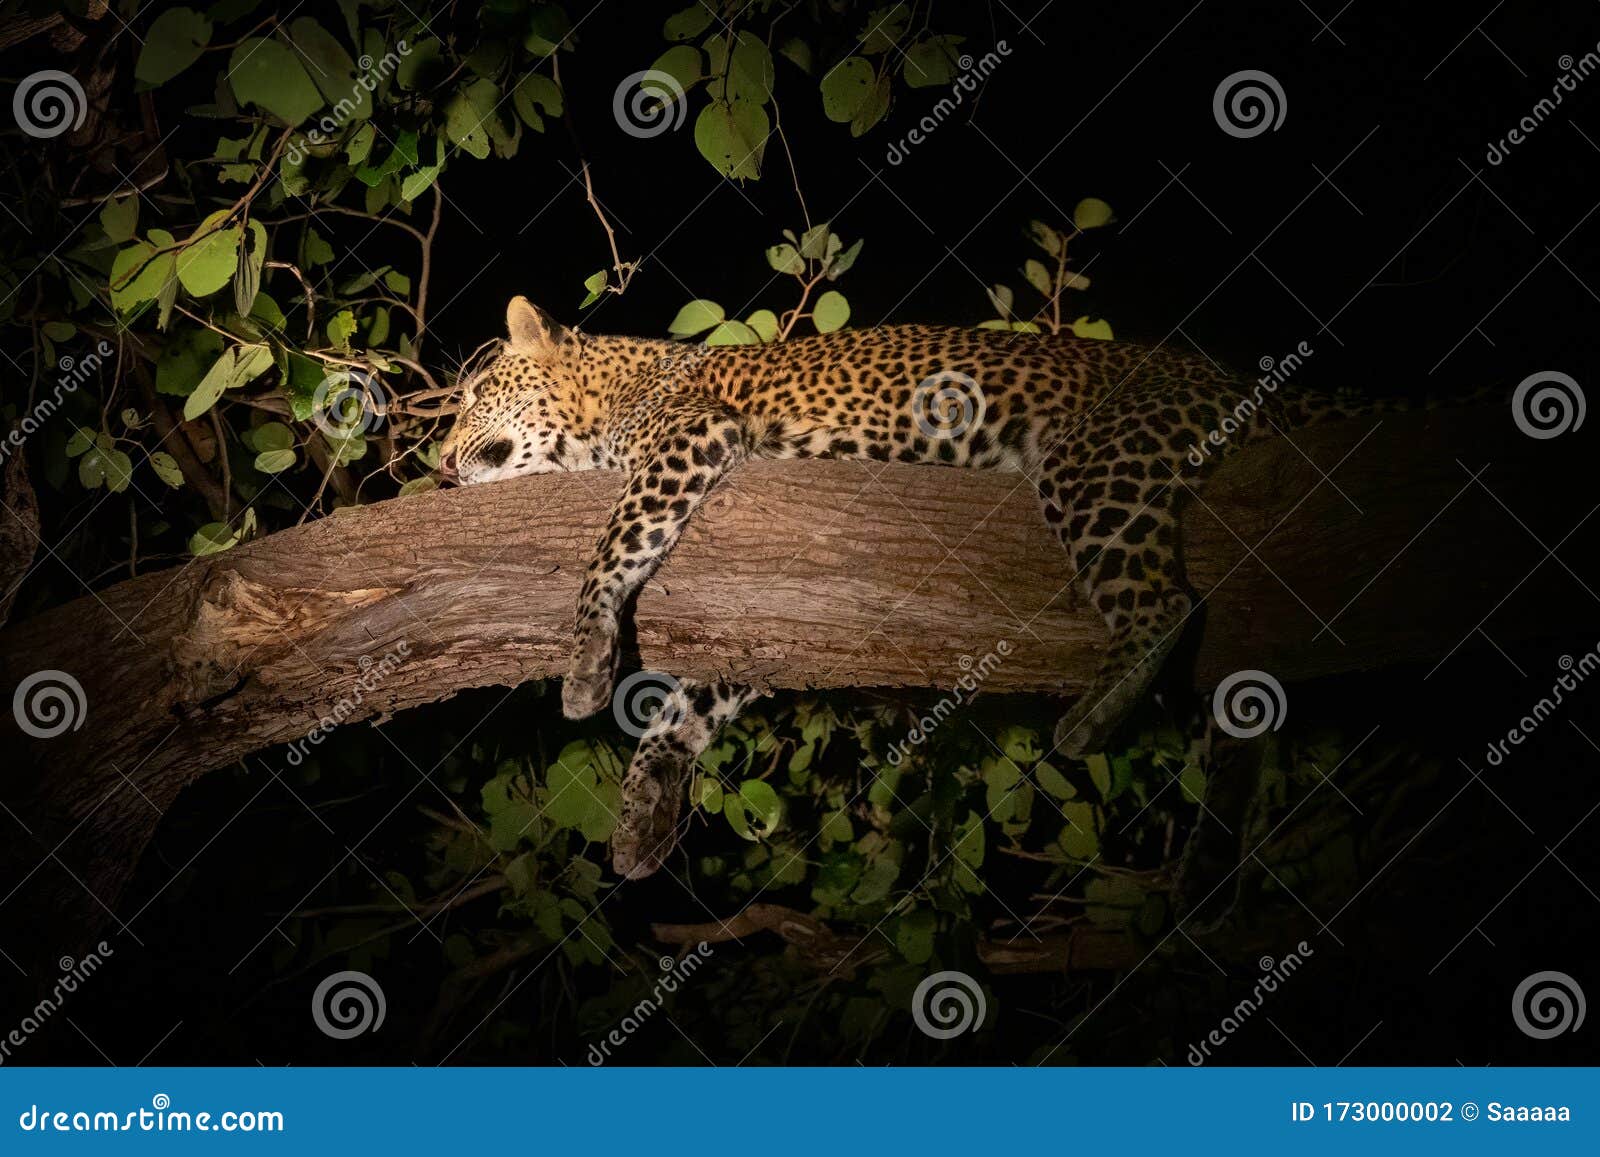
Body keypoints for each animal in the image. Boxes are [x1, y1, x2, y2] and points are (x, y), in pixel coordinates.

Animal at [440, 296, 1376, 881]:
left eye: (478, 396)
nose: (439, 460)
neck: (610, 394)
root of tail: (1234, 381)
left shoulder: (689, 437)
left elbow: (611, 544)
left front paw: (585, 663)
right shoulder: (760, 612)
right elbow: (693, 701)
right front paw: (646, 802)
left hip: (1096, 456)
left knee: (1165, 603)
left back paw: (1092, 717)